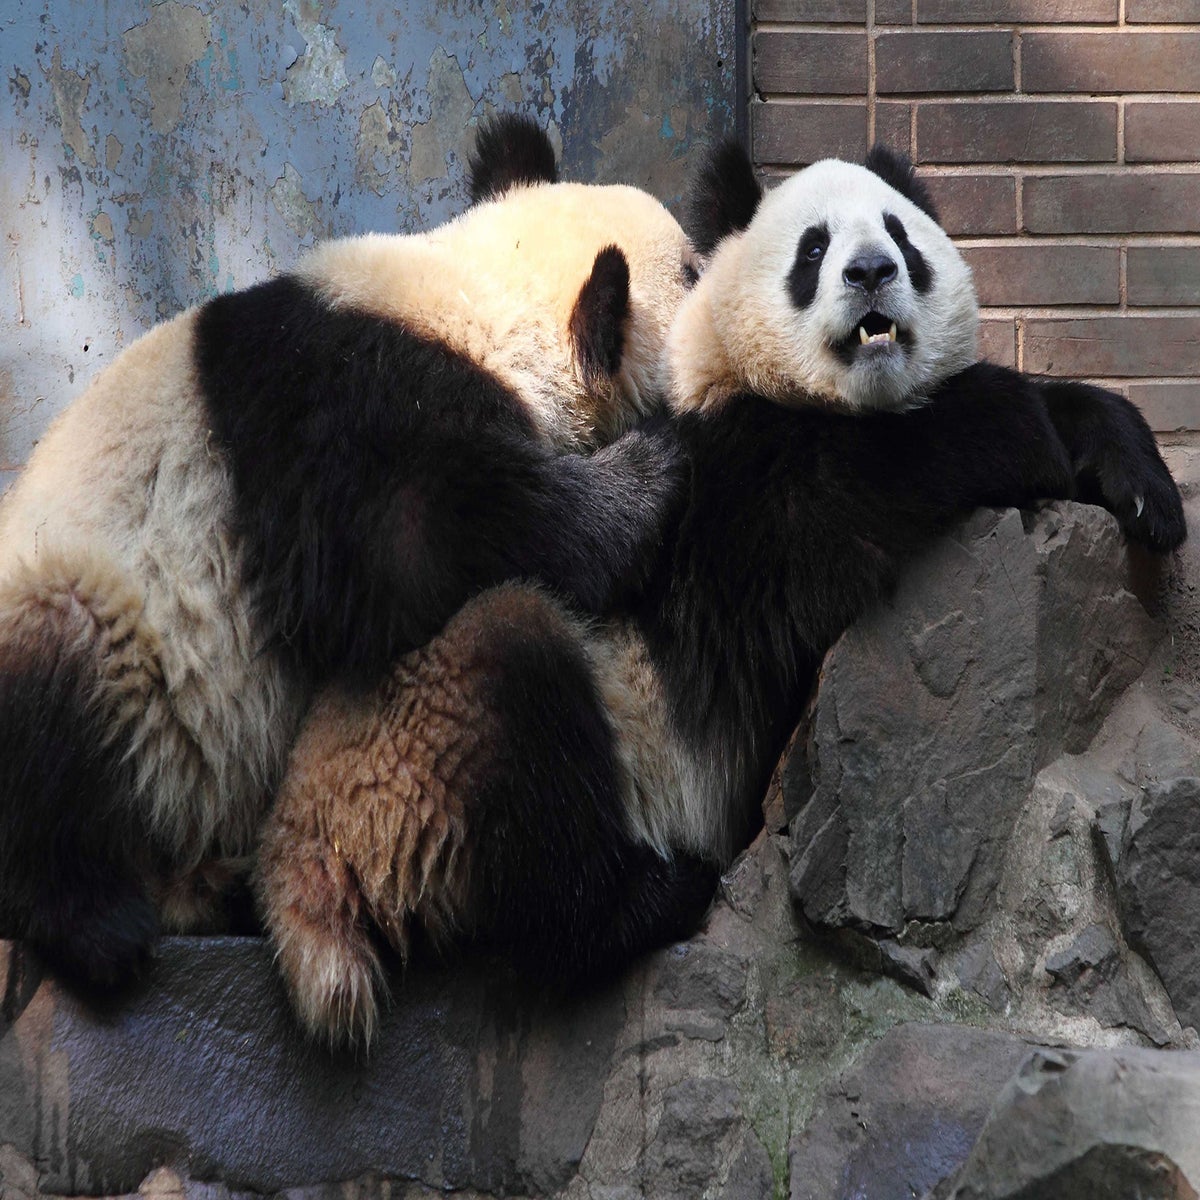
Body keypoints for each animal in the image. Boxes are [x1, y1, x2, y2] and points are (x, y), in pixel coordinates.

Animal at [0, 114, 700, 988]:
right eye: (699, 272)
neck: (480, 293)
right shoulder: (350, 409)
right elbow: (399, 557)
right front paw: (648, 475)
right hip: (98, 622)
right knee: (63, 672)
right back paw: (93, 922)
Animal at [257, 139, 1187, 1048]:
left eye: (902, 234)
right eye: (813, 249)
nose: (872, 272)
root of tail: (297, 856)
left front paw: (1141, 486)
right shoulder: (724, 498)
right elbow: (854, 488)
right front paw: (1013, 422)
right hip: (415, 771)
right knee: (517, 681)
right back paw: (657, 896)